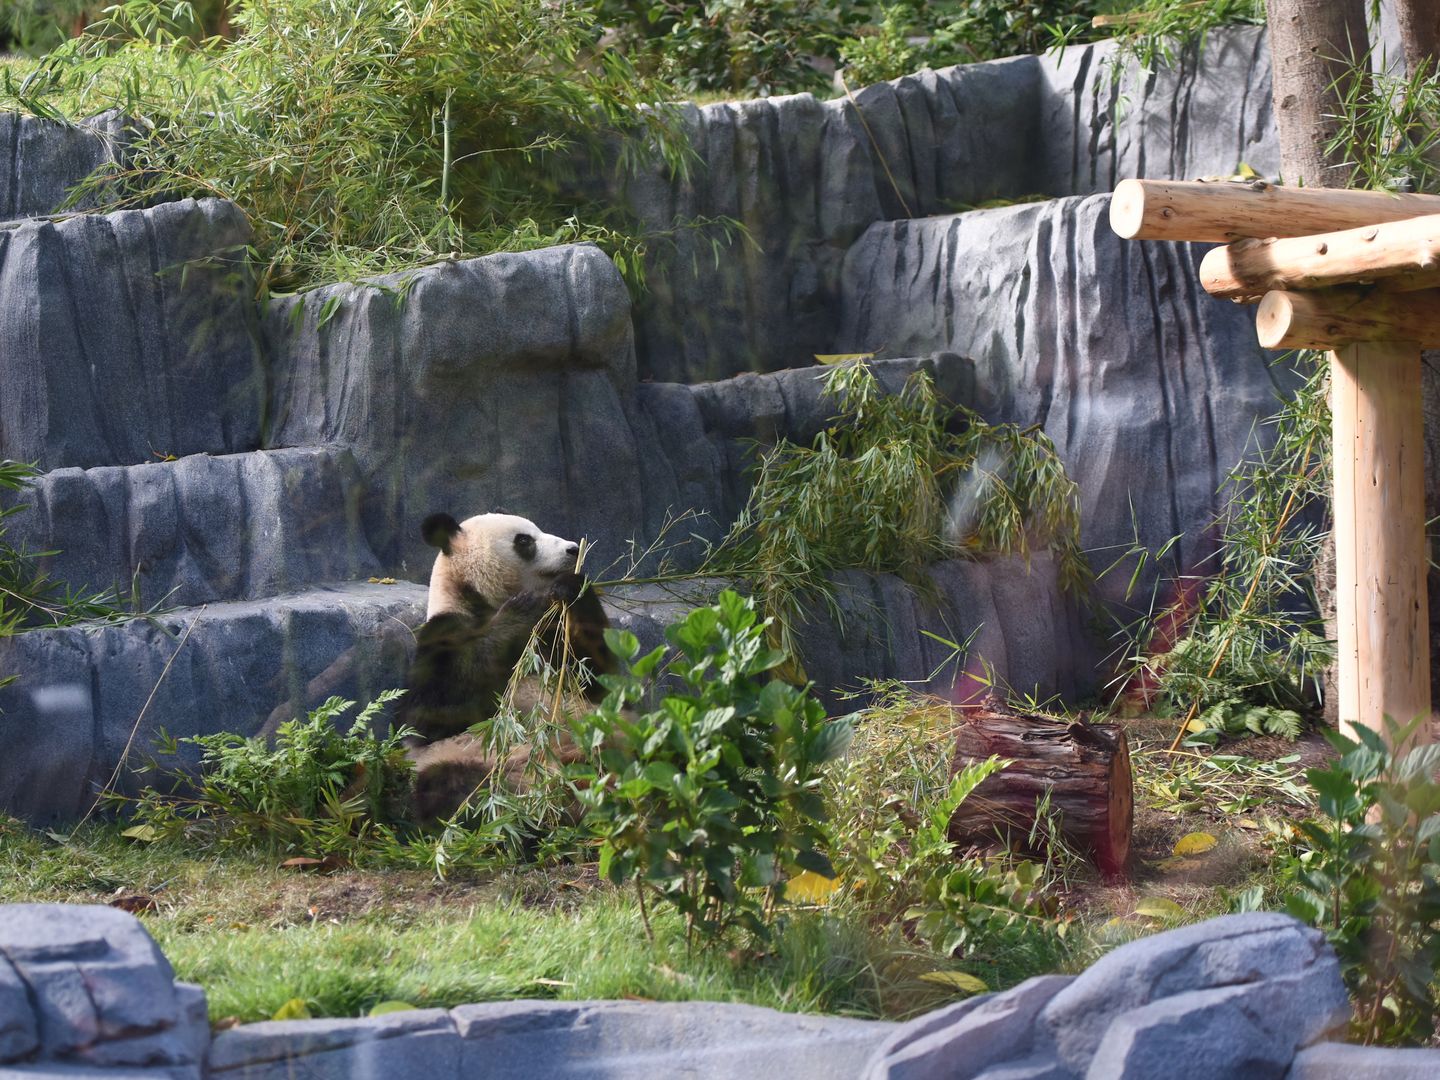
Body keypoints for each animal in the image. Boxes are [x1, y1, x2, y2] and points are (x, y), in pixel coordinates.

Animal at [397, 511, 617, 822]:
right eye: (524, 540)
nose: (573, 549)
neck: (478, 600)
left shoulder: (553, 639)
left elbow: (599, 681)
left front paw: (573, 585)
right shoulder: (443, 632)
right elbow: (427, 714)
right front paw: (523, 608)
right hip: (467, 761)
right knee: (451, 788)